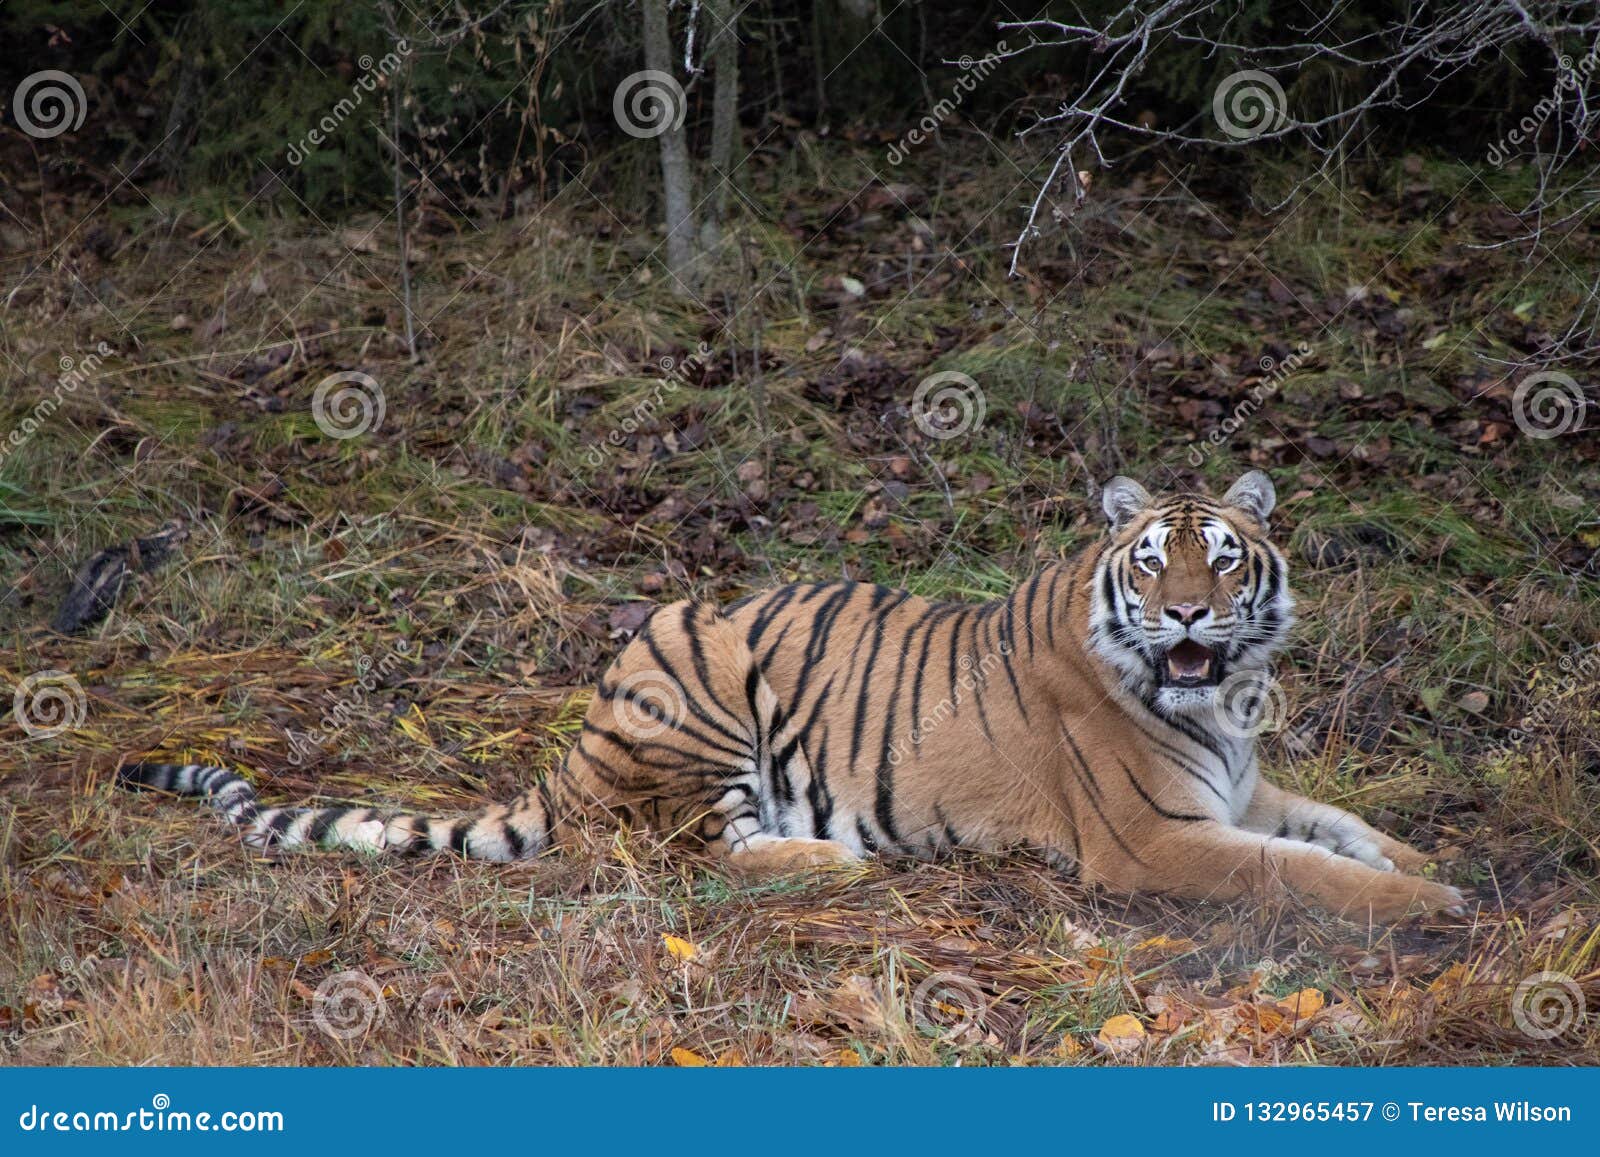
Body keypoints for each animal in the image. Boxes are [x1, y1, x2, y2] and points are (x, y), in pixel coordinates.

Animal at [120, 471, 1466, 922]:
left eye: (1226, 557)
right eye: (1150, 562)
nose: (1187, 614)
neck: (1218, 701)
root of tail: (575, 736)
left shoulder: (1243, 787)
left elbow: (1346, 827)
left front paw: (1438, 867)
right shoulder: (1155, 838)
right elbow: (1303, 871)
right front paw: (1430, 904)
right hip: (705, 688)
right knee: (697, 852)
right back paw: (838, 861)